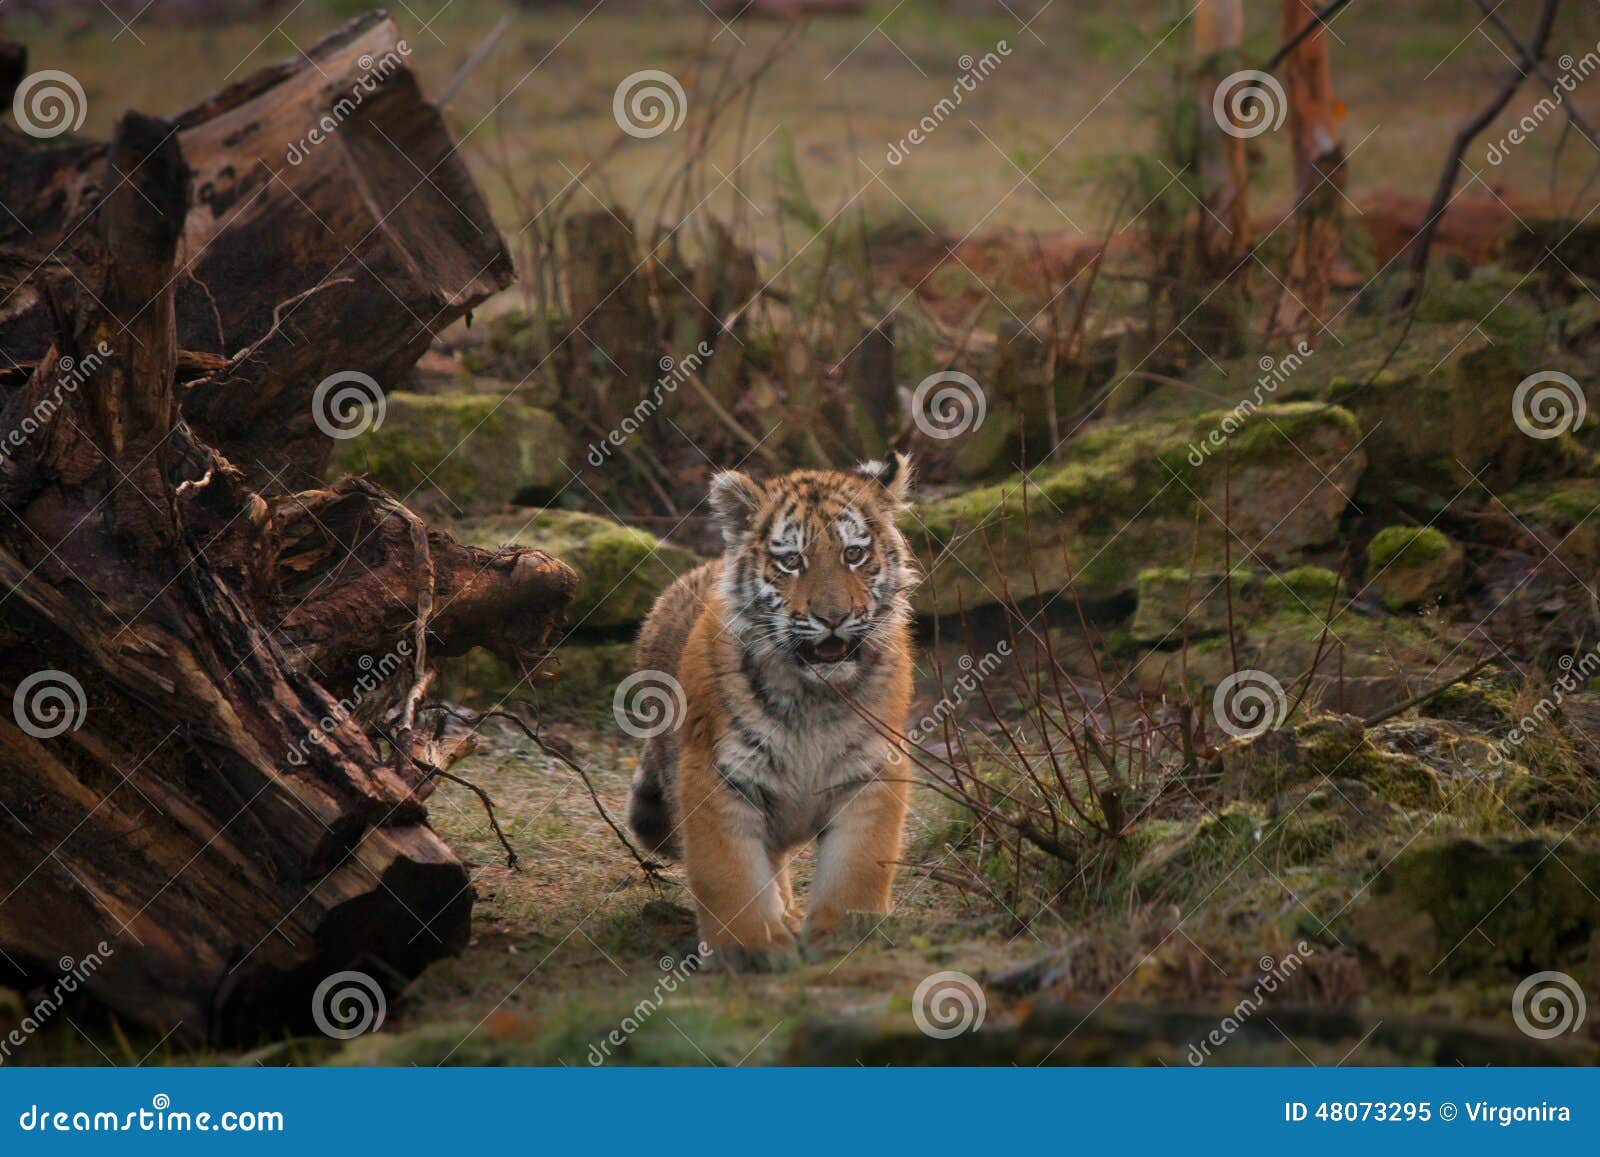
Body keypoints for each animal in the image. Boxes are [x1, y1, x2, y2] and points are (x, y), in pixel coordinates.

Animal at [626, 454, 918, 971]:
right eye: (791, 561)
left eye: (853, 555)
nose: (833, 617)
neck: (813, 696)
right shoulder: (715, 775)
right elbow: (729, 872)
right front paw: (749, 950)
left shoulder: (873, 769)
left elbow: (860, 861)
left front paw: (843, 935)